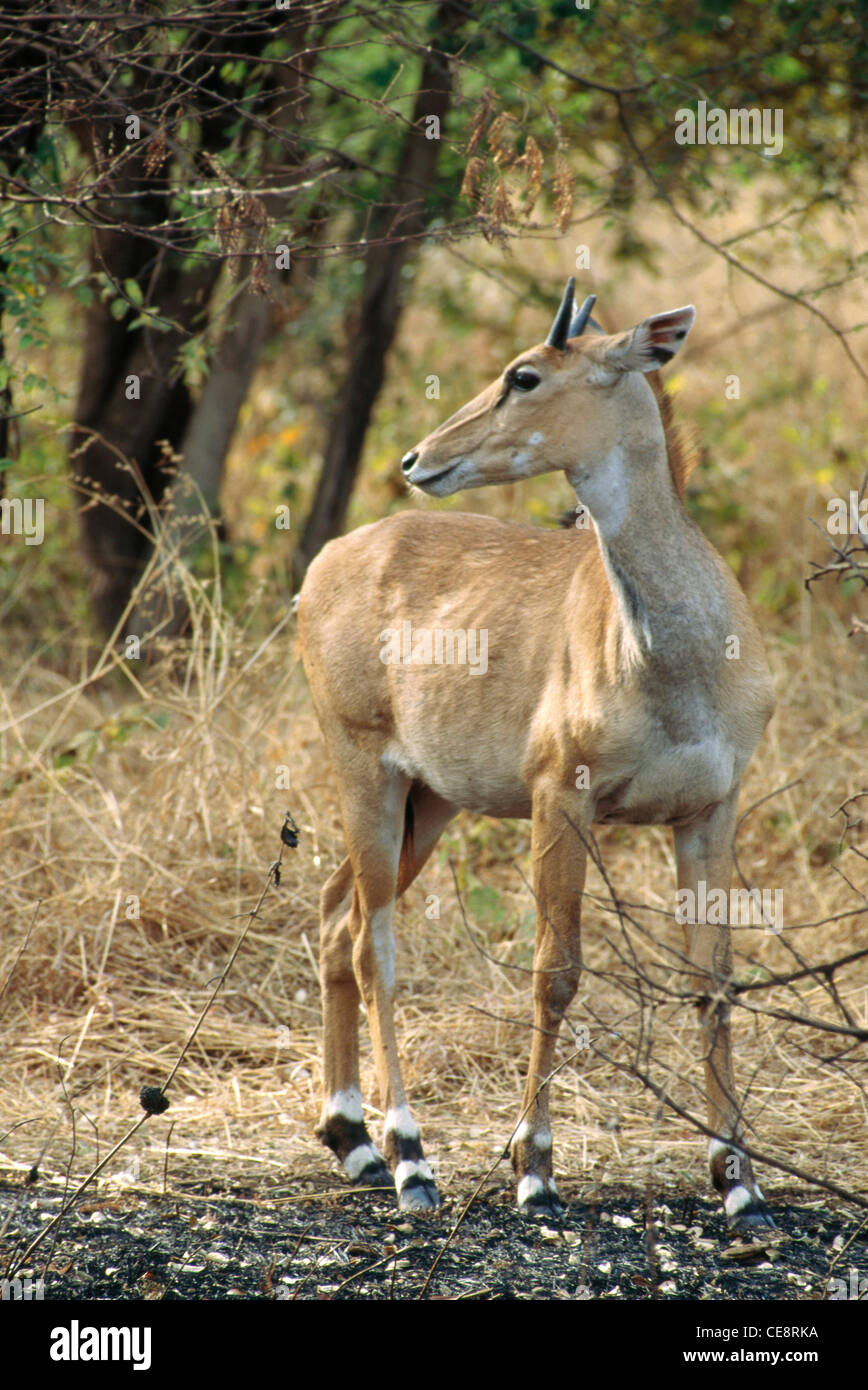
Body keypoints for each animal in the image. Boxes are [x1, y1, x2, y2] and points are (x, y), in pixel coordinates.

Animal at [297, 279, 776, 1231]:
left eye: (525, 375)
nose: (418, 456)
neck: (681, 659)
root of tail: (322, 563)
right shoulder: (563, 795)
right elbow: (556, 972)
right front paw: (536, 1165)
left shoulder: (711, 808)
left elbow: (714, 980)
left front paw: (738, 1180)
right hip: (365, 766)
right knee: (373, 944)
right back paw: (410, 1157)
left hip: (430, 799)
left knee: (336, 917)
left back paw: (353, 1139)